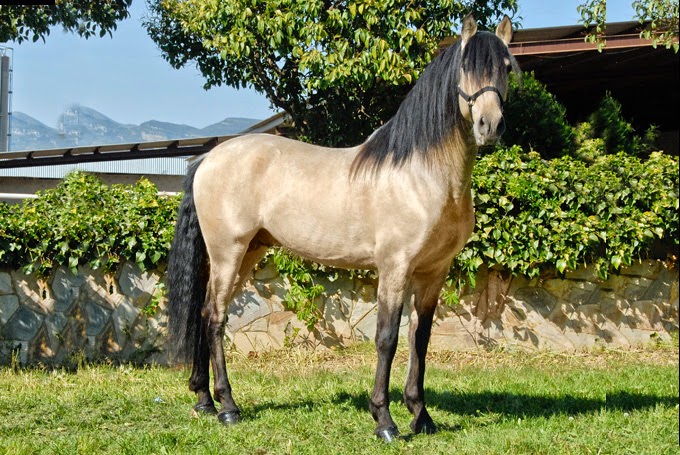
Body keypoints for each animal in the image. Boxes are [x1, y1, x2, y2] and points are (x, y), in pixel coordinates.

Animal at [167, 13, 520, 442]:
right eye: (467, 67)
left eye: (506, 68)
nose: (491, 126)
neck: (421, 175)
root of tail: (208, 158)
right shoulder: (395, 269)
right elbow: (387, 338)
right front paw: (385, 421)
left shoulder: (433, 273)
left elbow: (420, 339)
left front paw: (421, 416)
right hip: (227, 252)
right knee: (216, 317)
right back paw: (228, 407)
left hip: (247, 253)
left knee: (203, 313)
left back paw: (204, 400)